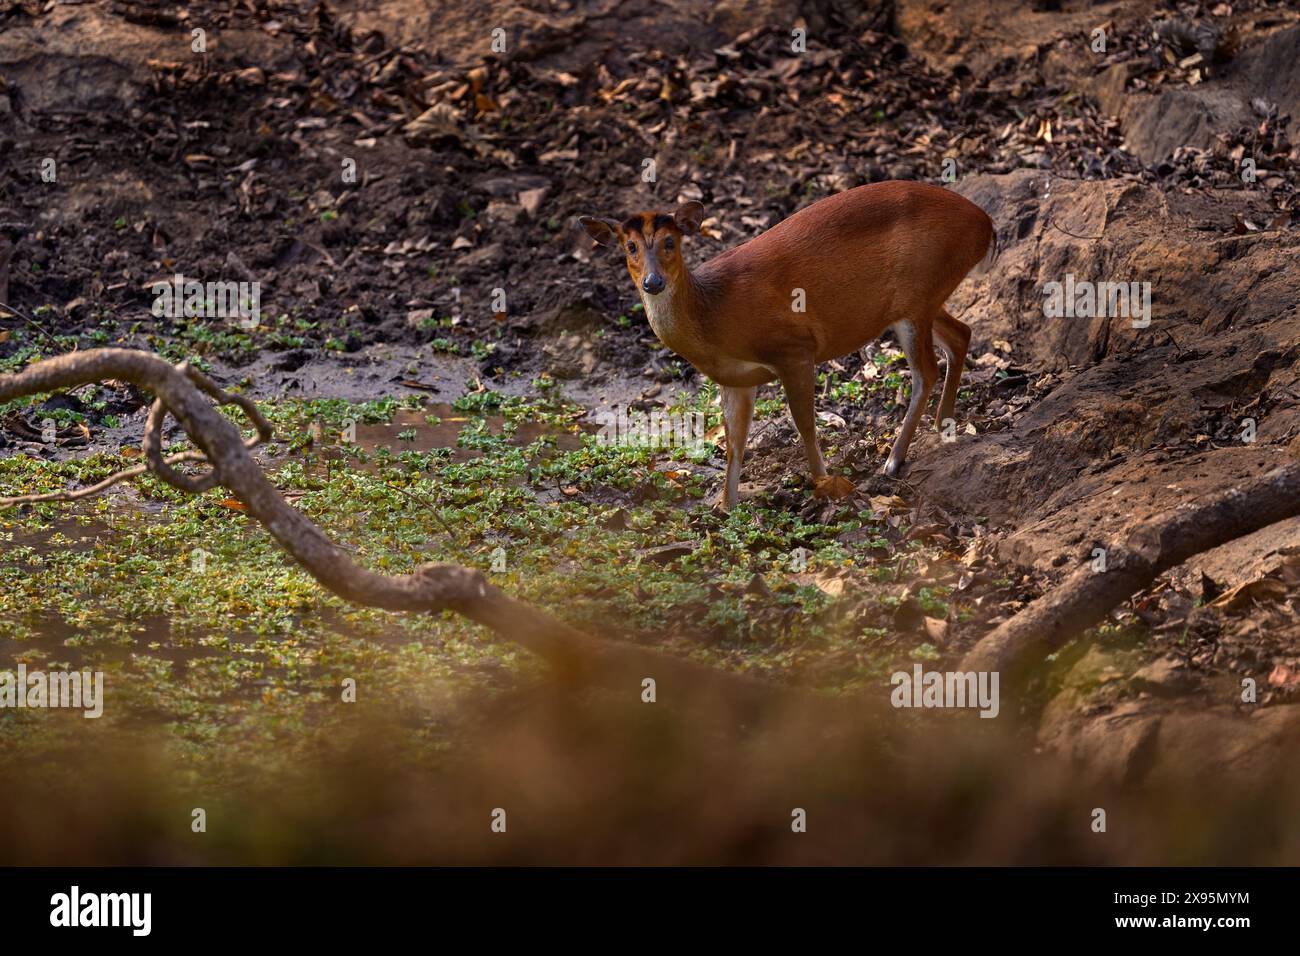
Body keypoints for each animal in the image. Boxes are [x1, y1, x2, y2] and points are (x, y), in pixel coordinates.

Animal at [579, 180, 996, 510]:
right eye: (630, 247)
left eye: (670, 242)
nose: (653, 282)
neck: (713, 313)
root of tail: (986, 225)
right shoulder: (736, 379)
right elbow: (734, 443)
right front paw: (724, 507)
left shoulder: (795, 347)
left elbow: (804, 425)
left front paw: (825, 483)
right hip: (919, 300)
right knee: (961, 334)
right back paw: (944, 424)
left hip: (918, 293)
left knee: (927, 371)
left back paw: (893, 461)